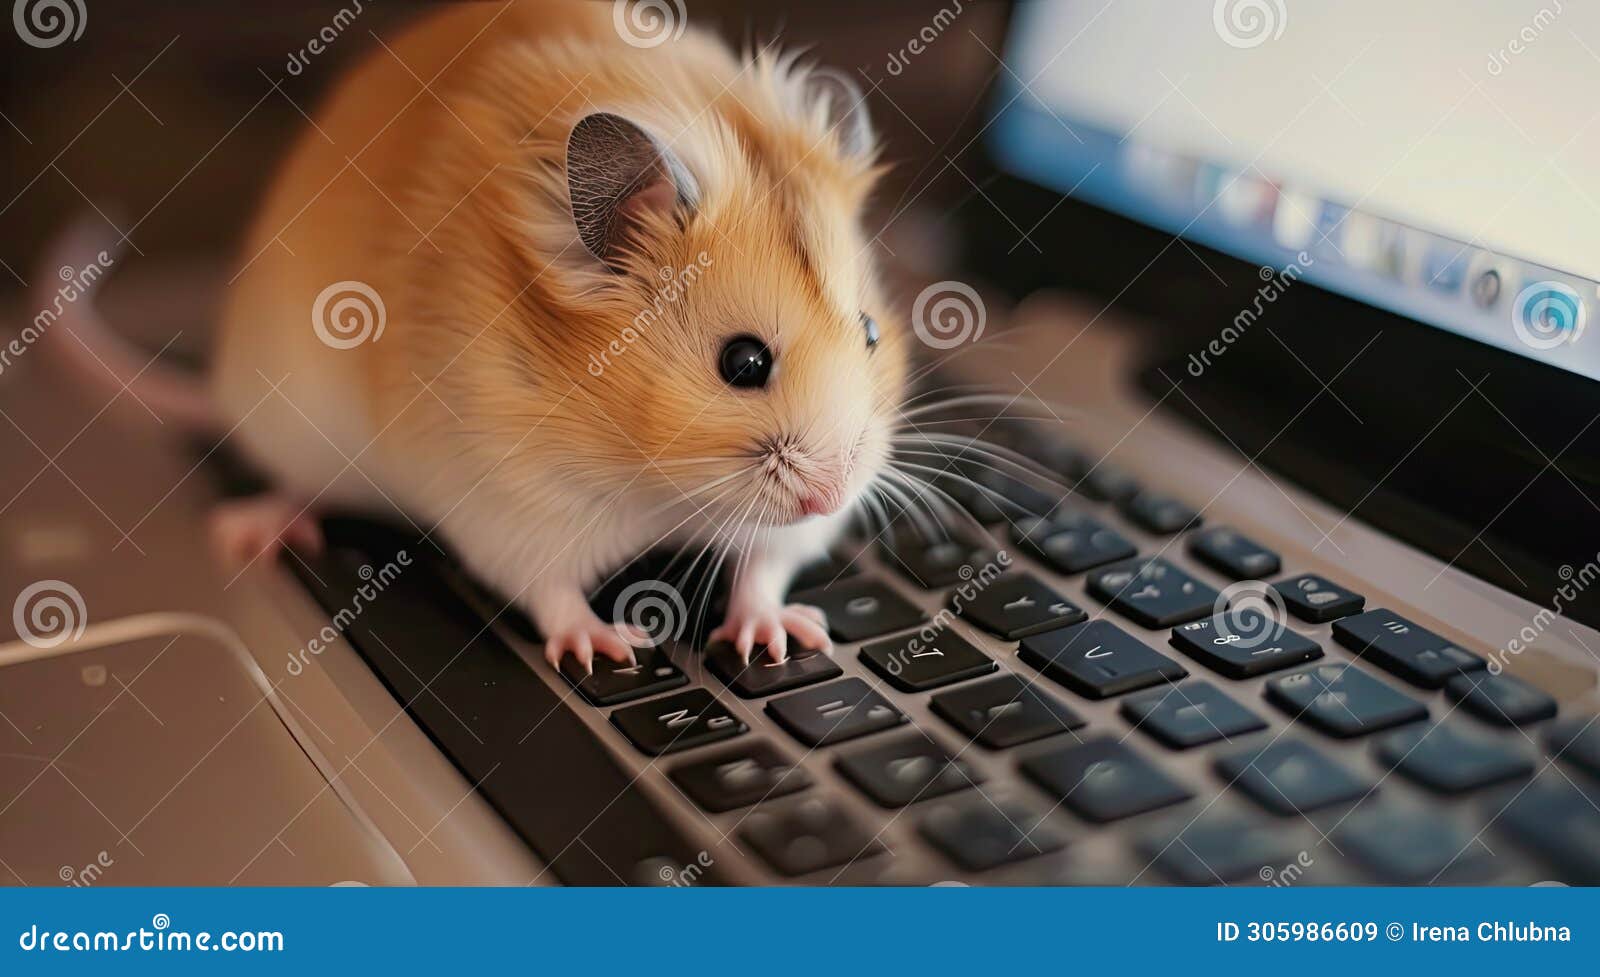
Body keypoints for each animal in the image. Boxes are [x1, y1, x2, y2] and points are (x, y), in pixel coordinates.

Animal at [51, 1, 910, 673]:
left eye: (870, 331)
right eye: (744, 361)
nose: (834, 494)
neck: (655, 474)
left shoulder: (783, 531)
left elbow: (765, 565)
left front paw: (783, 637)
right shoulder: (513, 503)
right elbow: (550, 590)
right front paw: (608, 647)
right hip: (293, 423)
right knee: (288, 482)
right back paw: (254, 531)